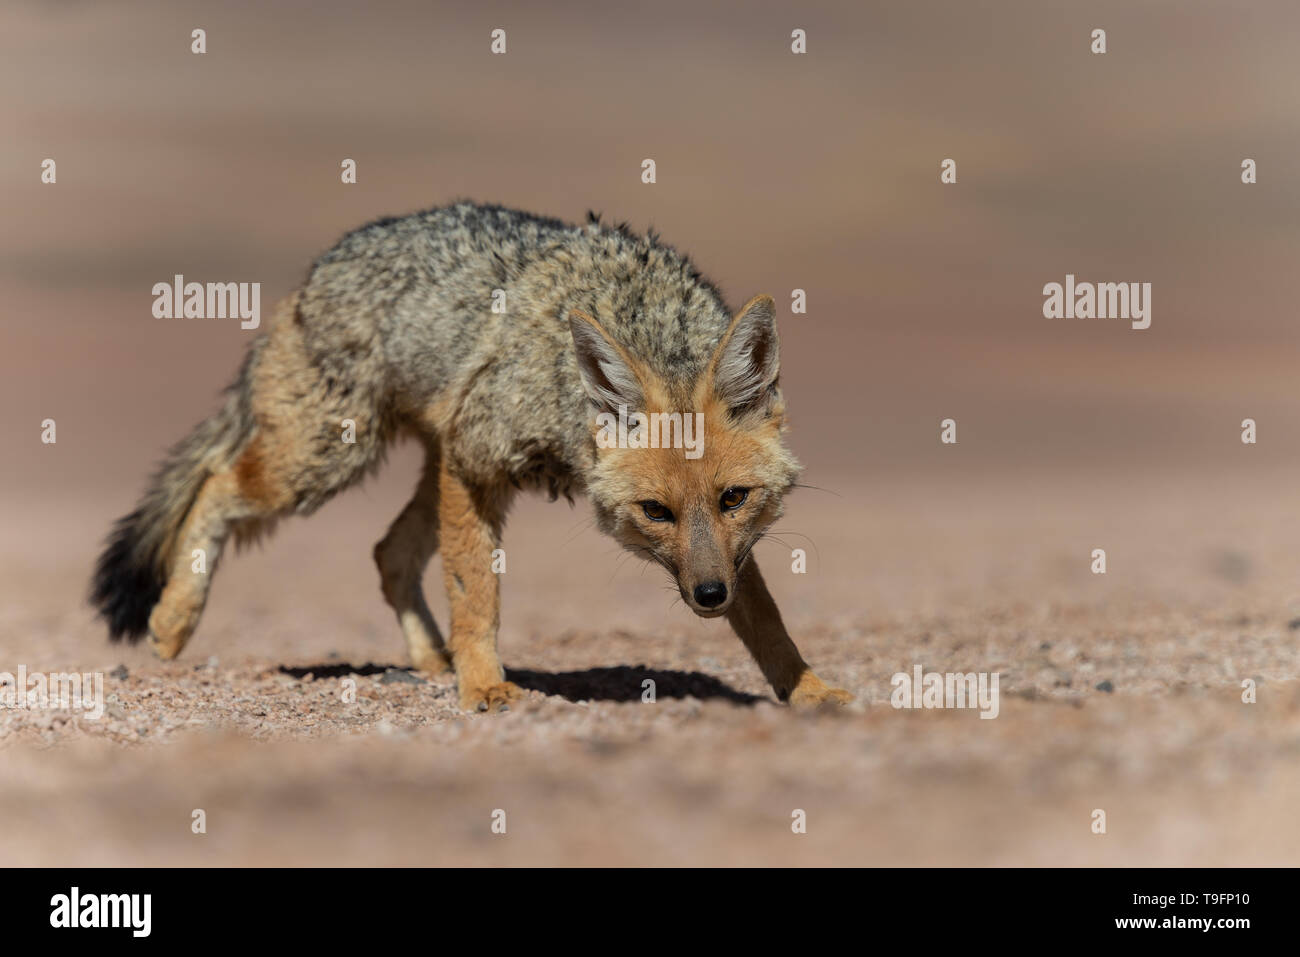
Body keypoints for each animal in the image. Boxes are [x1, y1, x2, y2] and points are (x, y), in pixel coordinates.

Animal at [90, 201, 852, 712]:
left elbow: (767, 619)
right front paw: (484, 684)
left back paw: (432, 659)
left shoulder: (731, 550)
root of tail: (313, 273)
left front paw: (809, 689)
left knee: (388, 551)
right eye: (654, 511)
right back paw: (174, 622)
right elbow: (476, 588)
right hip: (327, 458)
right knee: (218, 484)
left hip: (413, 465)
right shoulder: (478, 463)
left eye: (734, 499)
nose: (708, 596)